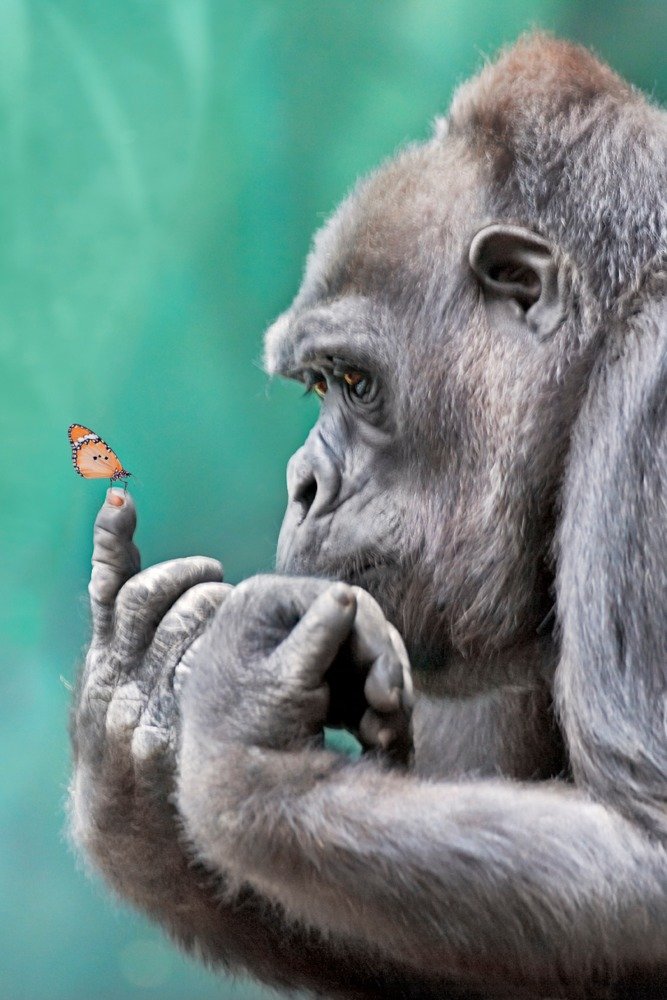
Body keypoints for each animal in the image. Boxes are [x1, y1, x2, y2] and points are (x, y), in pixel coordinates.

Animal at [69, 34, 667, 999]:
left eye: (354, 382)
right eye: (313, 387)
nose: (303, 483)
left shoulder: (650, 397)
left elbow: (646, 846)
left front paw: (245, 742)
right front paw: (134, 706)